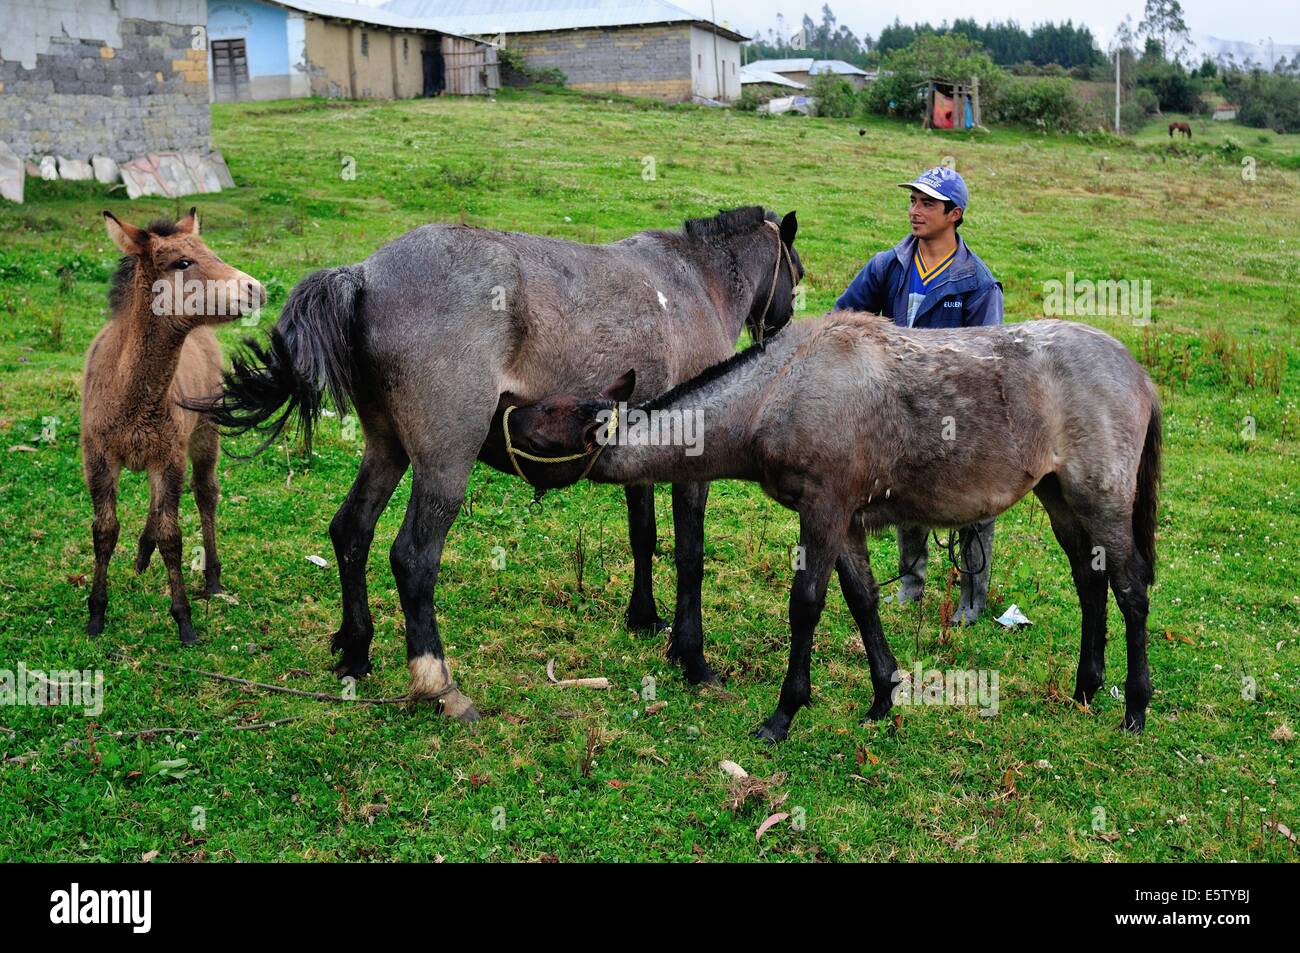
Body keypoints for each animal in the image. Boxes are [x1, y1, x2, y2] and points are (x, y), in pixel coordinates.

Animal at [82, 209, 264, 643]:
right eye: (183, 263)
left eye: (213, 253)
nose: (256, 290)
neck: (130, 394)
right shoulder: (98, 455)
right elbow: (105, 530)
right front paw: (96, 613)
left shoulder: (169, 455)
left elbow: (173, 536)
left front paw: (184, 620)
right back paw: (142, 554)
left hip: (202, 435)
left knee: (204, 493)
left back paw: (211, 578)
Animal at [192, 207, 802, 718]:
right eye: (795, 273)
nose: (785, 323)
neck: (692, 282)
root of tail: (363, 275)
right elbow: (690, 554)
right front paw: (692, 657)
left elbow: (643, 537)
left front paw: (645, 618)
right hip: (444, 464)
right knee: (412, 558)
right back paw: (438, 684)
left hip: (387, 449)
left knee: (351, 531)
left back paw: (355, 648)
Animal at [503, 312, 1162, 741]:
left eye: (545, 423)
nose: (498, 417)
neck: (780, 389)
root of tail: (1137, 372)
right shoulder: (845, 520)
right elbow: (862, 599)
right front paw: (882, 696)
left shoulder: (823, 509)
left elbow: (807, 605)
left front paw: (783, 713)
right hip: (1060, 499)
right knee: (1090, 583)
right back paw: (1084, 688)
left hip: (1100, 499)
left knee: (1130, 589)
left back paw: (1134, 706)